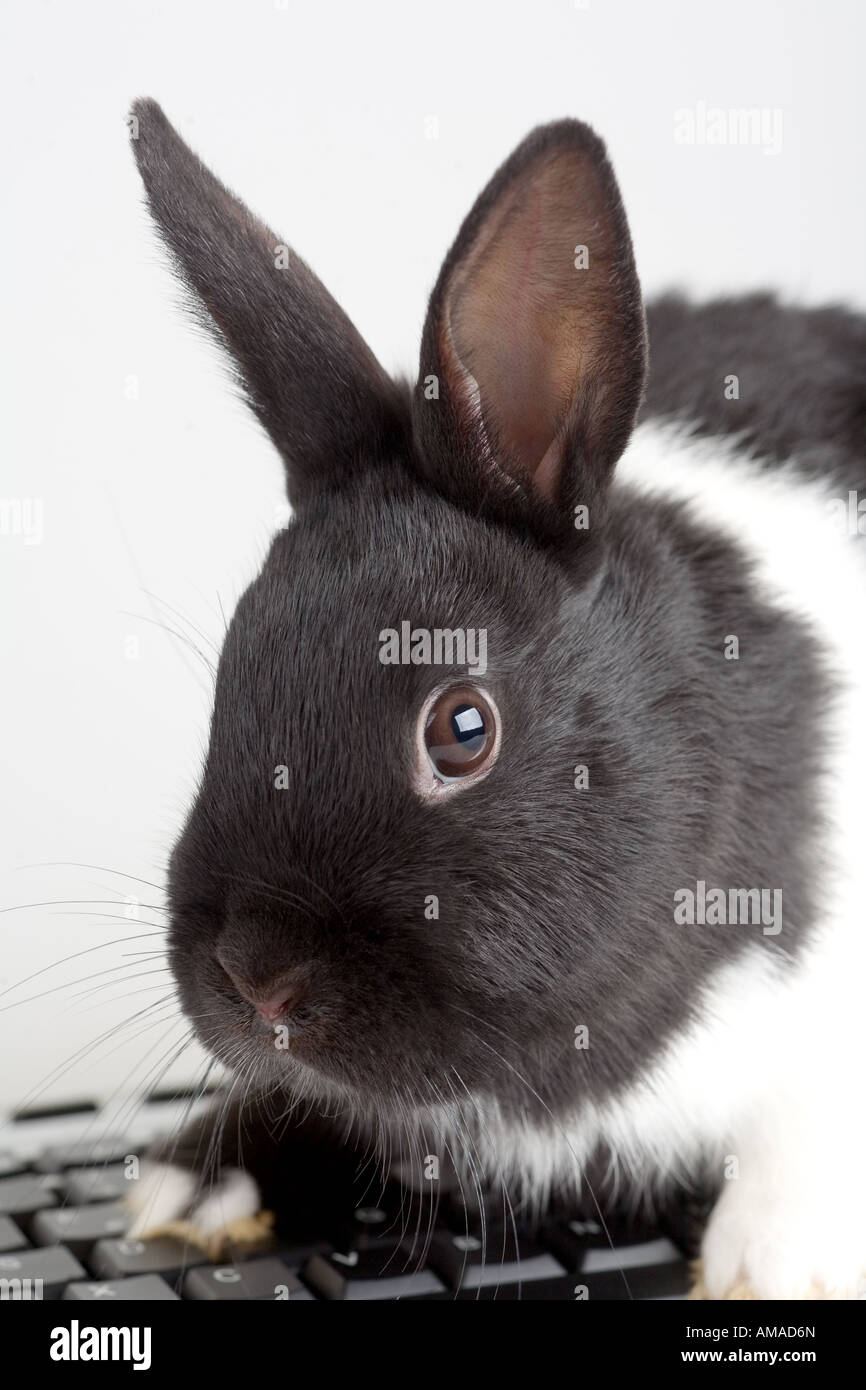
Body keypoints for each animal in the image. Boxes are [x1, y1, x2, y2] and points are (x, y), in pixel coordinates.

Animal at [125, 99, 866, 1299]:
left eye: (461, 728)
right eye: (234, 669)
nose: (257, 983)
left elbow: (808, 1119)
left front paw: (768, 1264)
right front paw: (192, 1182)